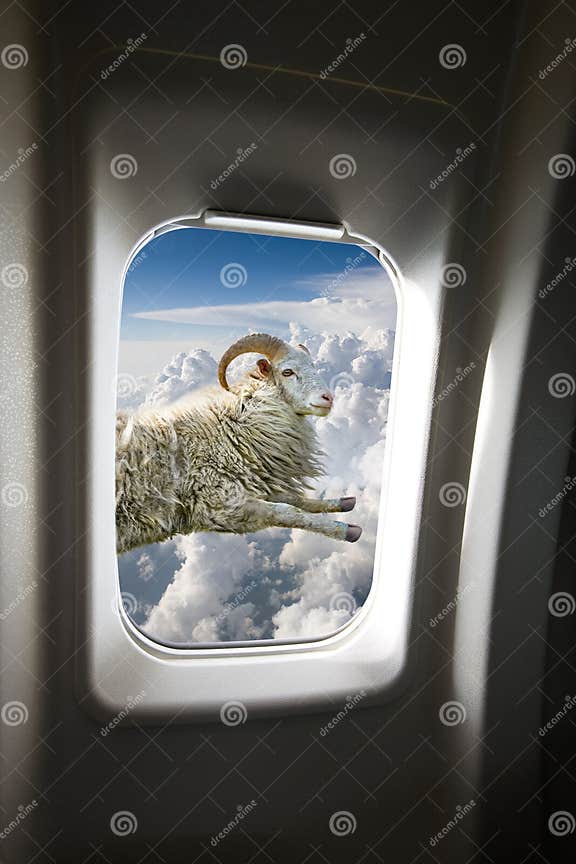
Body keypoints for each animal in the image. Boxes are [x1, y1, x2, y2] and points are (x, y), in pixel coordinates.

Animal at [115, 333, 362, 554]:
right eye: (288, 372)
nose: (328, 398)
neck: (230, 432)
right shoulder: (219, 506)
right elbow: (288, 511)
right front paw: (345, 529)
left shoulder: (255, 484)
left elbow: (295, 499)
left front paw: (343, 502)